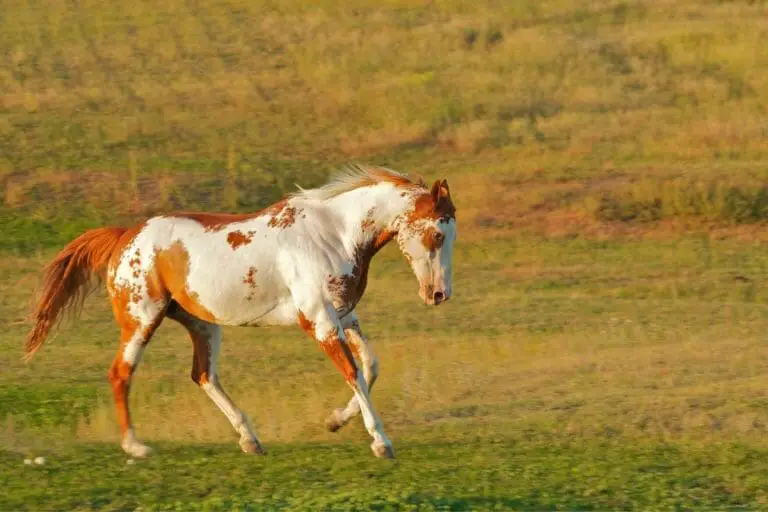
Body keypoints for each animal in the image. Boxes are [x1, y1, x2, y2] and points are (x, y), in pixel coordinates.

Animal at [24, 165, 457, 459]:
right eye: (437, 234)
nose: (439, 294)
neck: (333, 235)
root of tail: (124, 237)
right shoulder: (318, 321)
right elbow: (353, 372)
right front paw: (381, 441)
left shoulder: (344, 315)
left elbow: (370, 367)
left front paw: (336, 420)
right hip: (141, 320)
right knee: (121, 373)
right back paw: (135, 446)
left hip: (202, 325)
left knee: (203, 376)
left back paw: (250, 439)